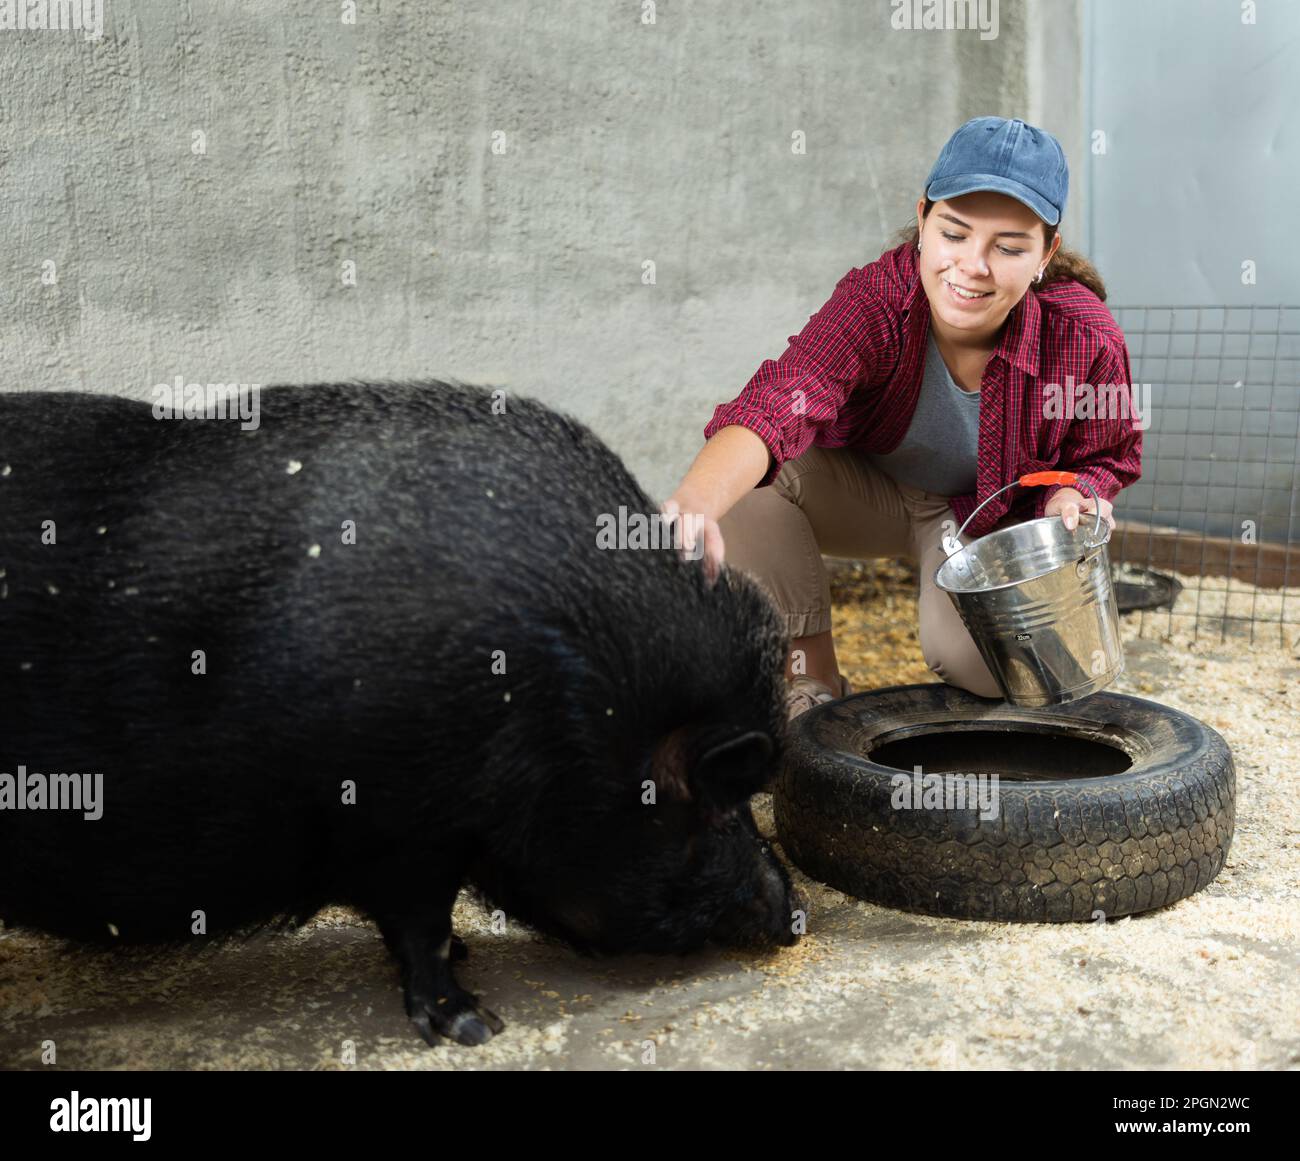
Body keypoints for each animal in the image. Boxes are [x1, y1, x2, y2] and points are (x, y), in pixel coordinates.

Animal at [0, 380, 800, 1046]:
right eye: (717, 805)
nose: (794, 916)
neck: (558, 707)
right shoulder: (404, 829)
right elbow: (424, 928)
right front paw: (476, 1027)